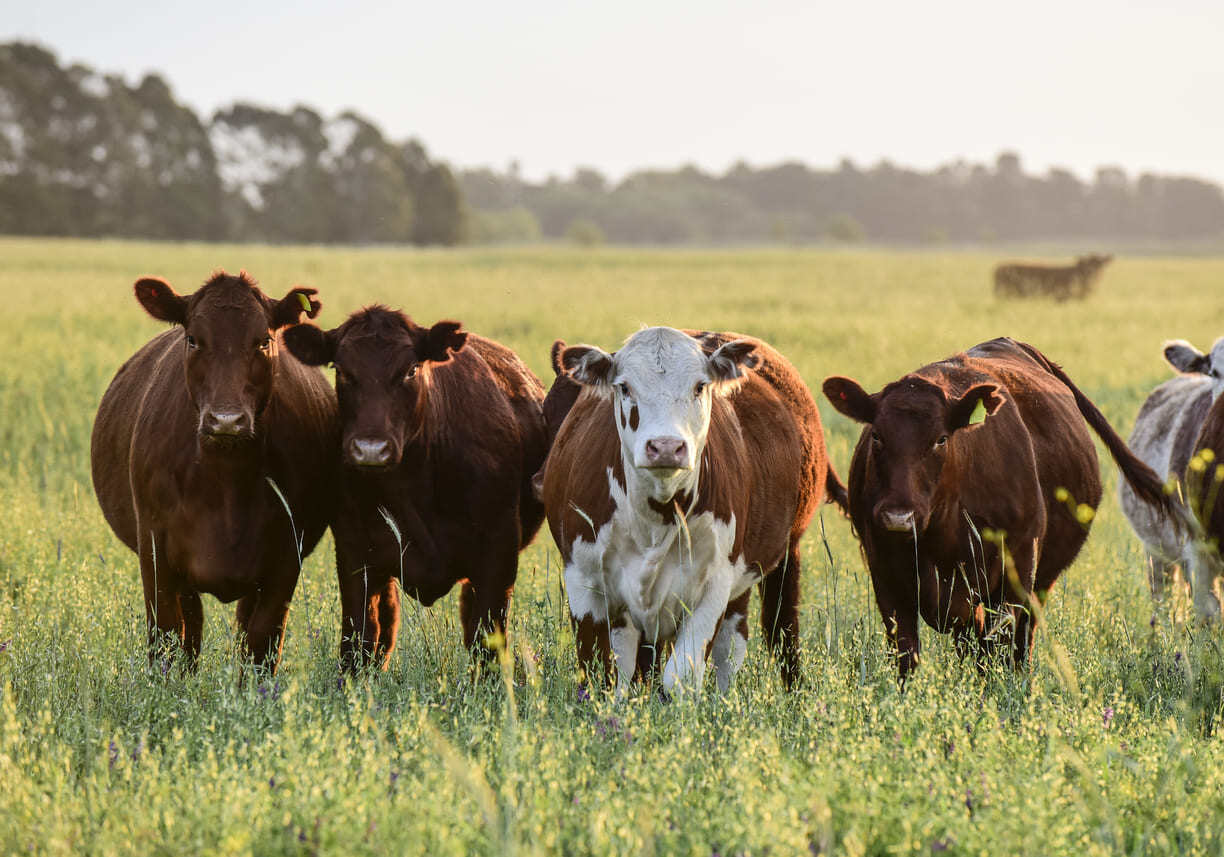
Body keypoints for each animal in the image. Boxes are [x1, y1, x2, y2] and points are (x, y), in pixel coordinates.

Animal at [91, 271, 338, 673]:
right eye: (193, 339)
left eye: (263, 340)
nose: (226, 420)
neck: (227, 482)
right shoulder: (155, 551)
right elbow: (165, 638)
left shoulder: (286, 558)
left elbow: (260, 644)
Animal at [282, 306, 548, 672]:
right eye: (342, 371)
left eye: (410, 370)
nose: (370, 449)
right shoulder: (354, 552)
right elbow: (359, 639)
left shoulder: (499, 552)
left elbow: (488, 642)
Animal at [540, 326, 841, 697]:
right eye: (624, 387)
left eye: (700, 386)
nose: (666, 447)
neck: (654, 517)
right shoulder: (584, 579)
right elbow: (602, 677)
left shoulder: (714, 584)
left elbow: (680, 677)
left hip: (785, 553)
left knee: (770, 633)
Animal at [822, 337, 1179, 681]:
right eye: (877, 437)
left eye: (940, 439)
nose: (898, 516)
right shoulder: (886, 575)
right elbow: (907, 655)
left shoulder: (1015, 568)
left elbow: (998, 649)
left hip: (1038, 581)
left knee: (1020, 639)